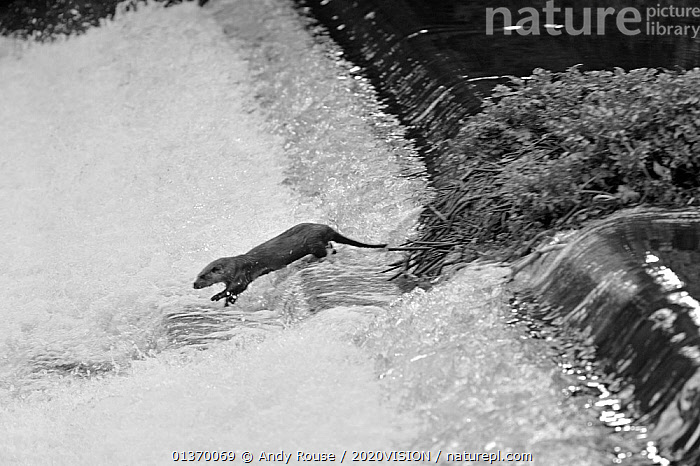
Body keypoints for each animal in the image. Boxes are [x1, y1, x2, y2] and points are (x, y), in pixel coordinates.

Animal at [193, 223, 388, 306]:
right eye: (197, 275)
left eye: (203, 276)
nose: (194, 284)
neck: (236, 265)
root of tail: (326, 227)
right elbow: (233, 292)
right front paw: (228, 301)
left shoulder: (242, 275)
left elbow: (236, 288)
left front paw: (217, 296)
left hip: (313, 242)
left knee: (325, 249)